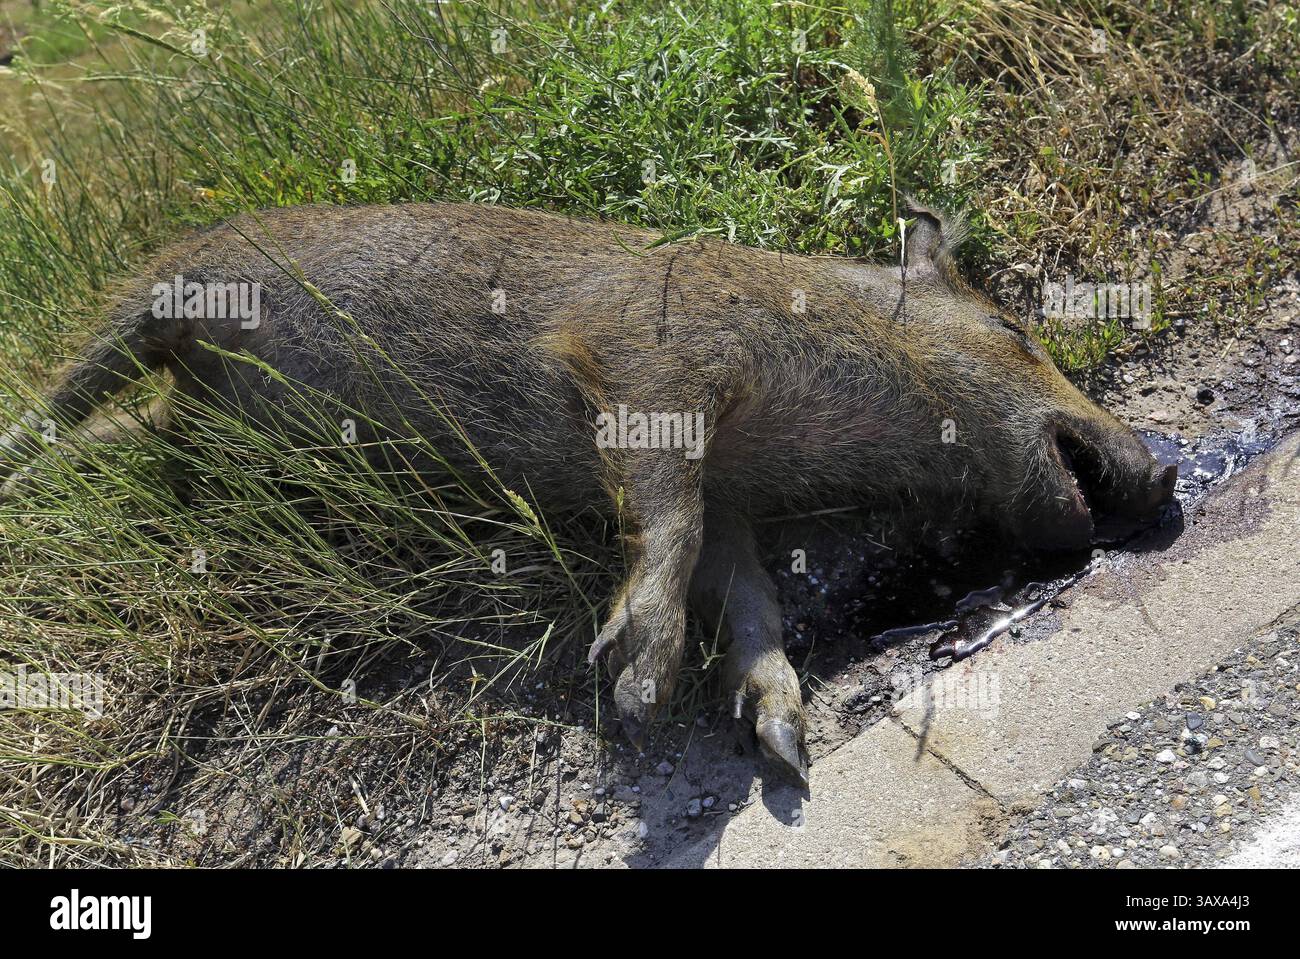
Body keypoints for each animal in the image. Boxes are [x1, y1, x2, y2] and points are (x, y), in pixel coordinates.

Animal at [1, 200, 1177, 781]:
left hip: (208, 426)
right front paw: (633, 690)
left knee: (117, 443)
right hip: (164, 332)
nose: (1165, 471)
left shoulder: (737, 504)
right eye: (1016, 328)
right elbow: (667, 515)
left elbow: (749, 593)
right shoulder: (649, 373)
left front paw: (787, 754)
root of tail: (172, 278)